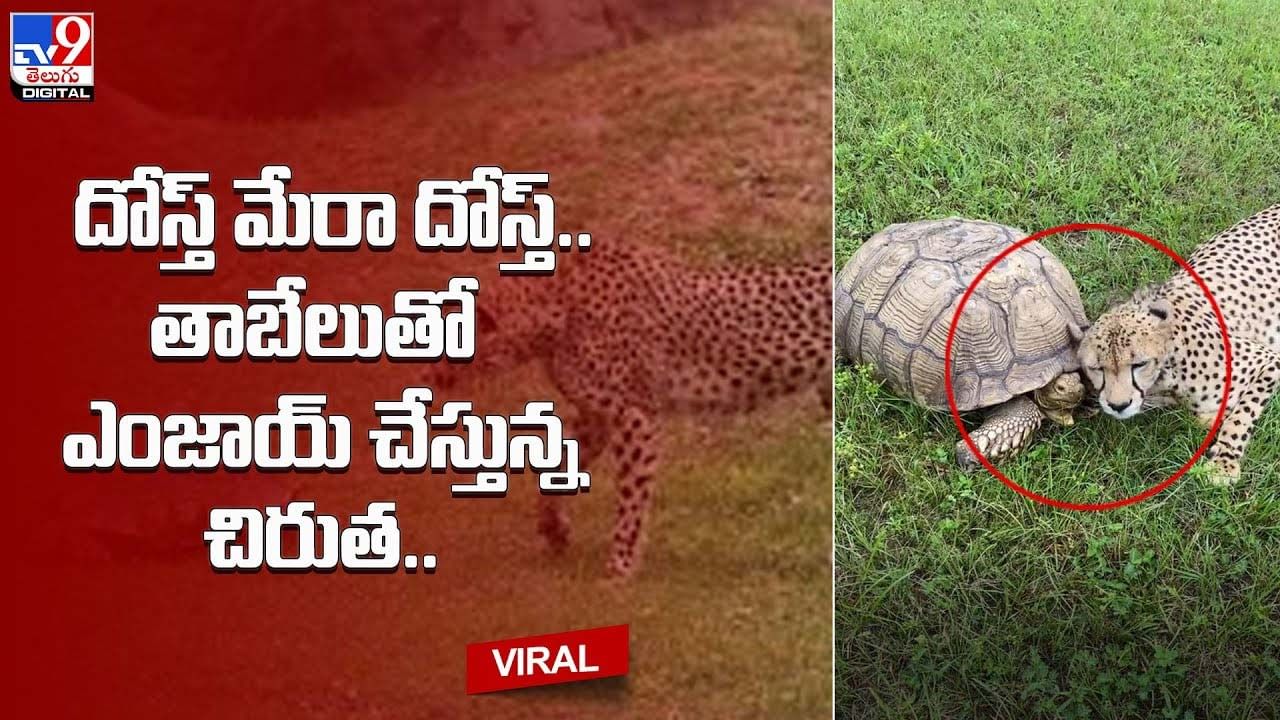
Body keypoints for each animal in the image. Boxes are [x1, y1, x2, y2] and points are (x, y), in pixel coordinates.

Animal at [431, 243, 831, 577]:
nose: (430, 375)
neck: (554, 307)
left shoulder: (633, 414)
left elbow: (630, 495)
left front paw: (619, 565)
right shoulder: (596, 417)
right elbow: (557, 469)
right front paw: (554, 529)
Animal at [1076, 203, 1280, 485]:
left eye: (1139, 364)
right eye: (1097, 368)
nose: (1118, 406)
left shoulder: (1267, 359)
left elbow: (1241, 415)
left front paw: (1224, 462)